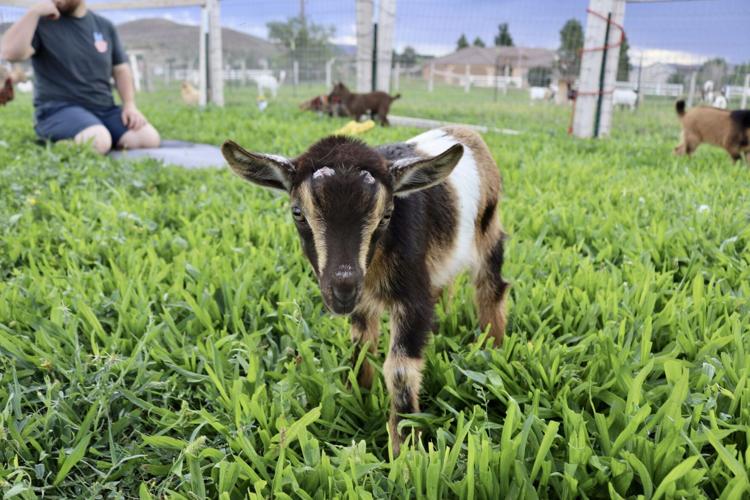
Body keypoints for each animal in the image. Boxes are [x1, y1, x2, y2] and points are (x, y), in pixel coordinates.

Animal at [221, 126, 509, 455]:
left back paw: (492, 349)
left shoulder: (412, 299)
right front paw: (355, 399)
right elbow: (360, 349)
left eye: (387, 215)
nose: (342, 289)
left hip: (489, 232)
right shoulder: (362, 303)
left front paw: (405, 450)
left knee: (491, 287)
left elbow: (399, 370)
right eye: (297, 213)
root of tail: (466, 132)